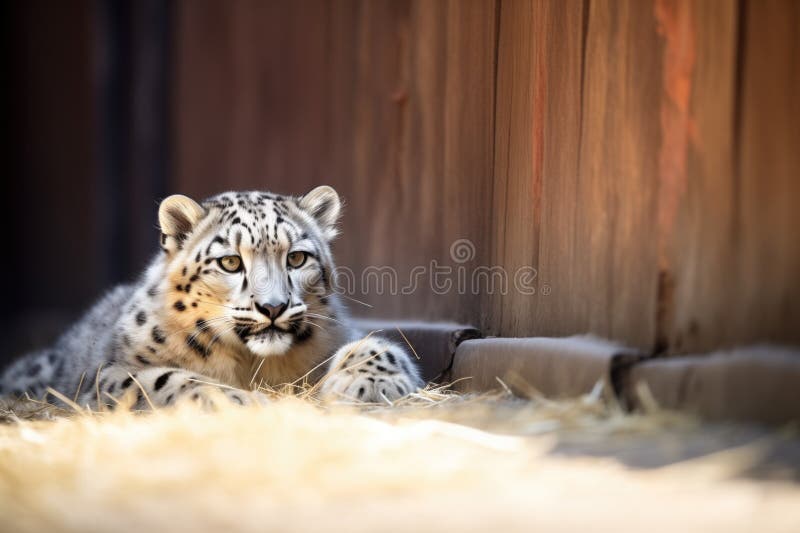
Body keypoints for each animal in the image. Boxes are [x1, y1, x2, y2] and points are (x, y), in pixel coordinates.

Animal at [0, 186, 423, 409]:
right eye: (231, 261)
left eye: (297, 257)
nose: (273, 307)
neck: (254, 364)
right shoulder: (110, 373)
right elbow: (163, 378)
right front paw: (238, 400)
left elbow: (380, 345)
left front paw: (369, 385)